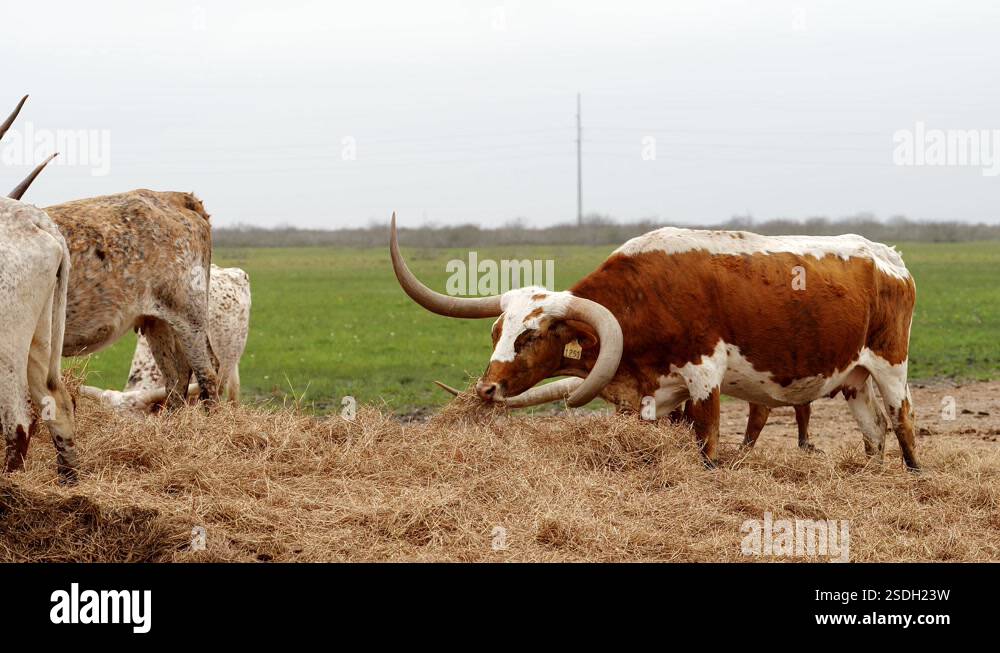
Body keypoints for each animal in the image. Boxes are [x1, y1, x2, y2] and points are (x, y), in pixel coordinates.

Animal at [391, 215, 919, 470]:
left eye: (531, 335)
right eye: (496, 331)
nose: (486, 390)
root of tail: (888, 256)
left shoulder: (704, 377)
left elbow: (707, 444)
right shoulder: (655, 395)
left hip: (891, 366)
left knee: (903, 424)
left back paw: (913, 477)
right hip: (853, 377)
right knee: (875, 433)